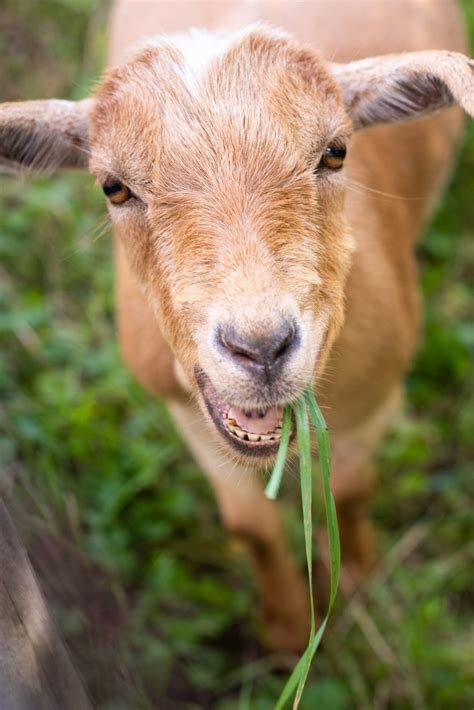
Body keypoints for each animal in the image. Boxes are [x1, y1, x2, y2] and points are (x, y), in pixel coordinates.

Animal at [1, 0, 473, 652]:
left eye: (335, 152)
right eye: (113, 187)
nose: (260, 348)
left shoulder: (375, 400)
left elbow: (350, 489)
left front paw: (357, 580)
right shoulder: (186, 415)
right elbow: (250, 526)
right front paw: (286, 631)